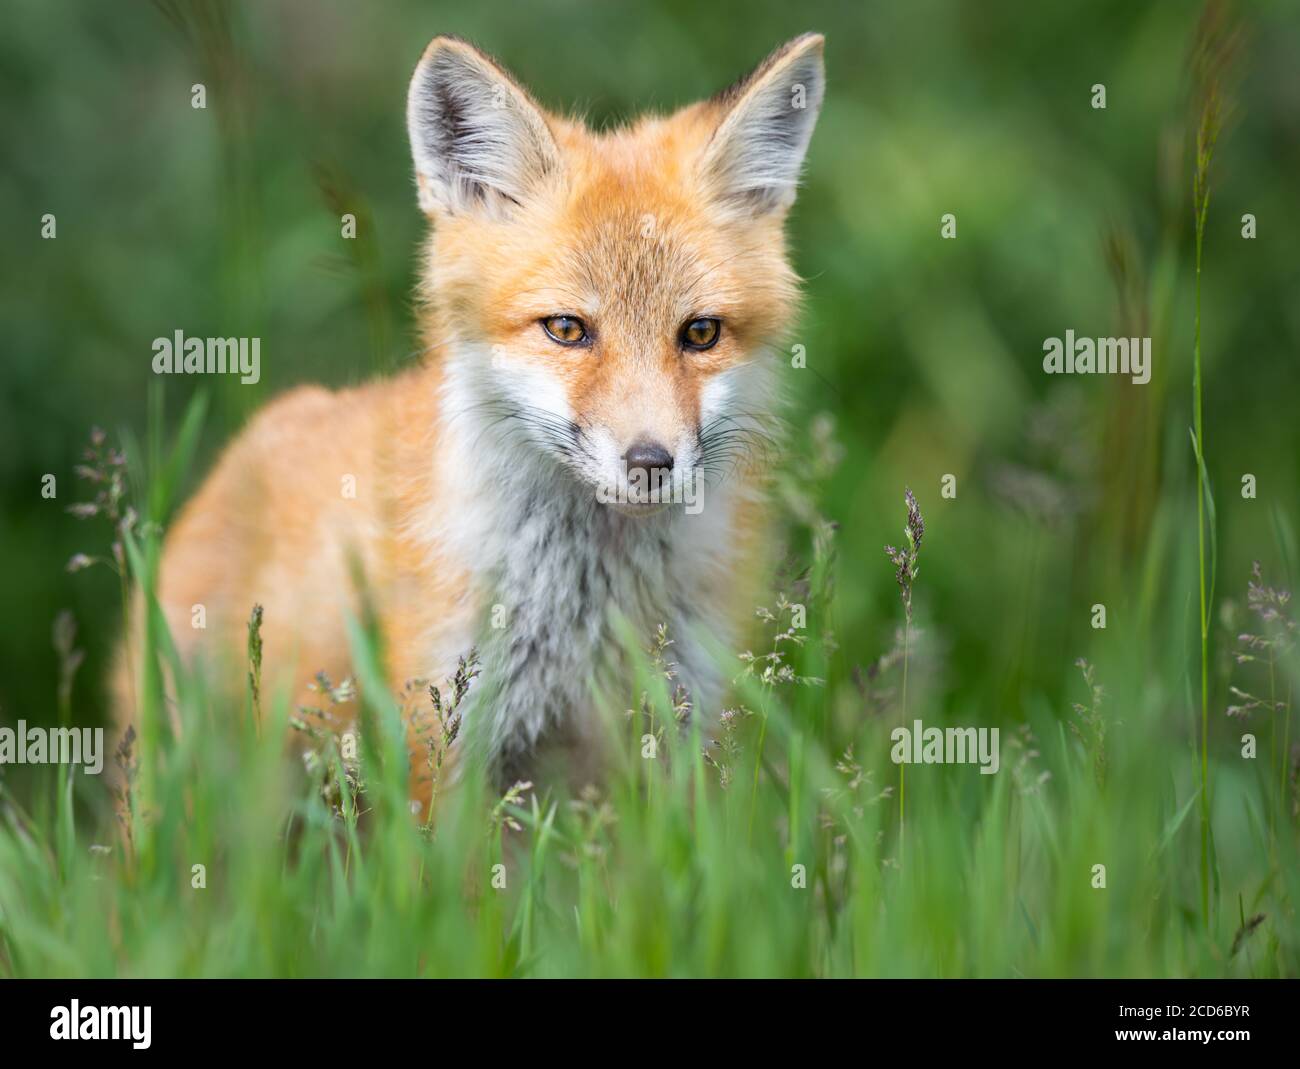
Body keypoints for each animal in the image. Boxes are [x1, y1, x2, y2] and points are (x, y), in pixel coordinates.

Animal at [113, 32, 826, 809]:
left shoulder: (681, 729)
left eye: (700, 333)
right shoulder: (445, 733)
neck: (586, 602)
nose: (650, 462)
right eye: (567, 329)